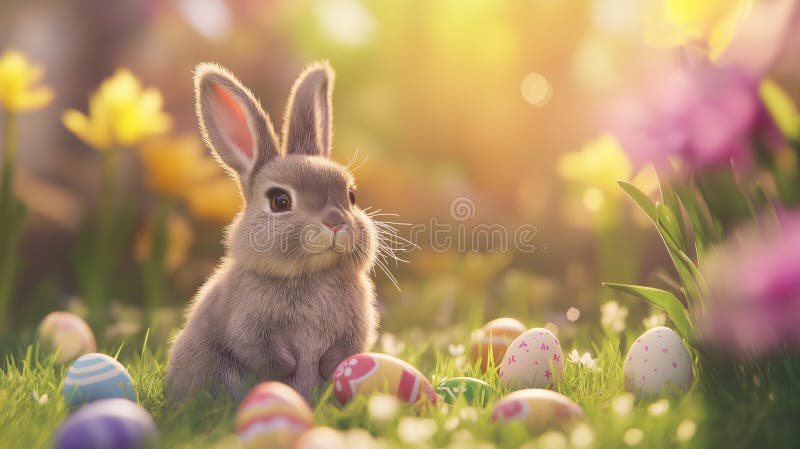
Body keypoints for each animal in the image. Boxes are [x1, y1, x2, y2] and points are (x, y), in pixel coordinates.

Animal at [166, 61, 379, 402]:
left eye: (351, 196)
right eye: (280, 200)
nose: (336, 222)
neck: (311, 274)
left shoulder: (355, 328)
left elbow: (344, 351)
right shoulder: (247, 322)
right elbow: (257, 349)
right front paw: (289, 369)